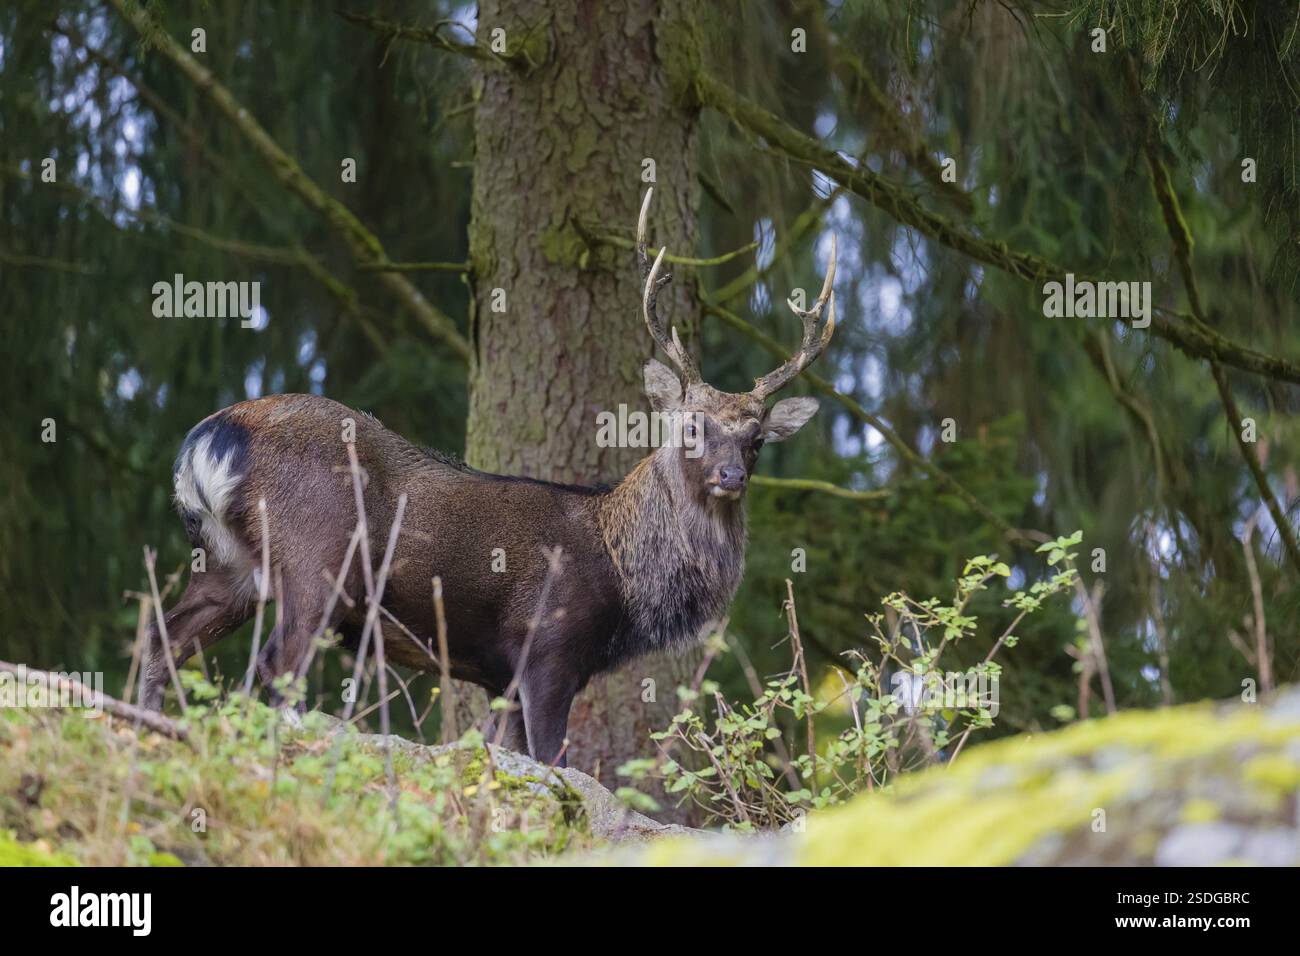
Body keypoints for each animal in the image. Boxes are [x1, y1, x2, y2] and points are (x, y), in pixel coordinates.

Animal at [140, 189, 837, 767]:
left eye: (756, 440)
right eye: (691, 426)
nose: (730, 475)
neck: (621, 570)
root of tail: (211, 437)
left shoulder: (501, 676)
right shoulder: (547, 646)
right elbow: (554, 760)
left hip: (228, 564)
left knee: (161, 638)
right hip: (316, 556)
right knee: (273, 665)